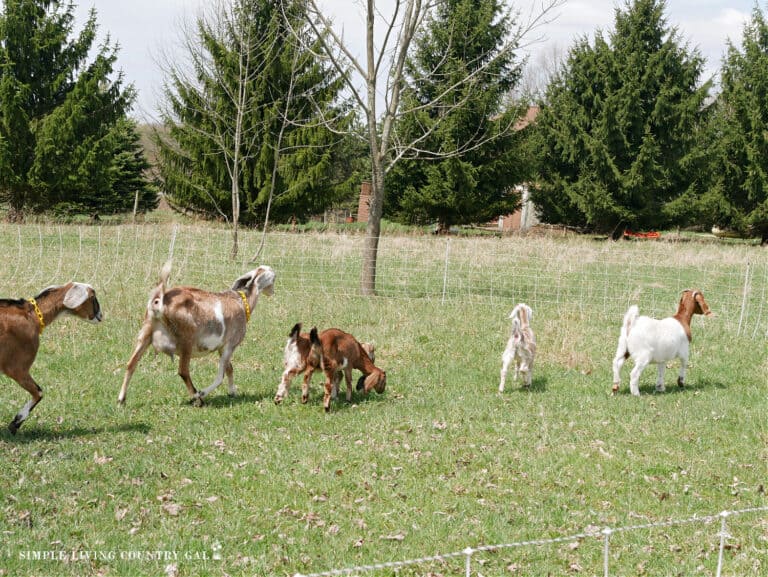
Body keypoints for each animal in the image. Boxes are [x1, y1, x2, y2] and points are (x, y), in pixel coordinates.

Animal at [0, 283, 102, 434]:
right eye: (92, 297)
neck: (32, 316)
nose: (101, 316)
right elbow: (39, 392)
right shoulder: (17, 368)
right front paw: (16, 422)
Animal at [118, 261, 275, 406]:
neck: (241, 302)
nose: (272, 292)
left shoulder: (222, 347)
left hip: (146, 334)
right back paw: (197, 398)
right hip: (186, 340)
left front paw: (232, 392)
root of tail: (159, 301)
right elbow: (221, 375)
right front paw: (203, 392)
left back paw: (121, 400)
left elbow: (229, 369)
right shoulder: (230, 345)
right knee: (183, 371)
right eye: (273, 278)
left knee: (131, 364)